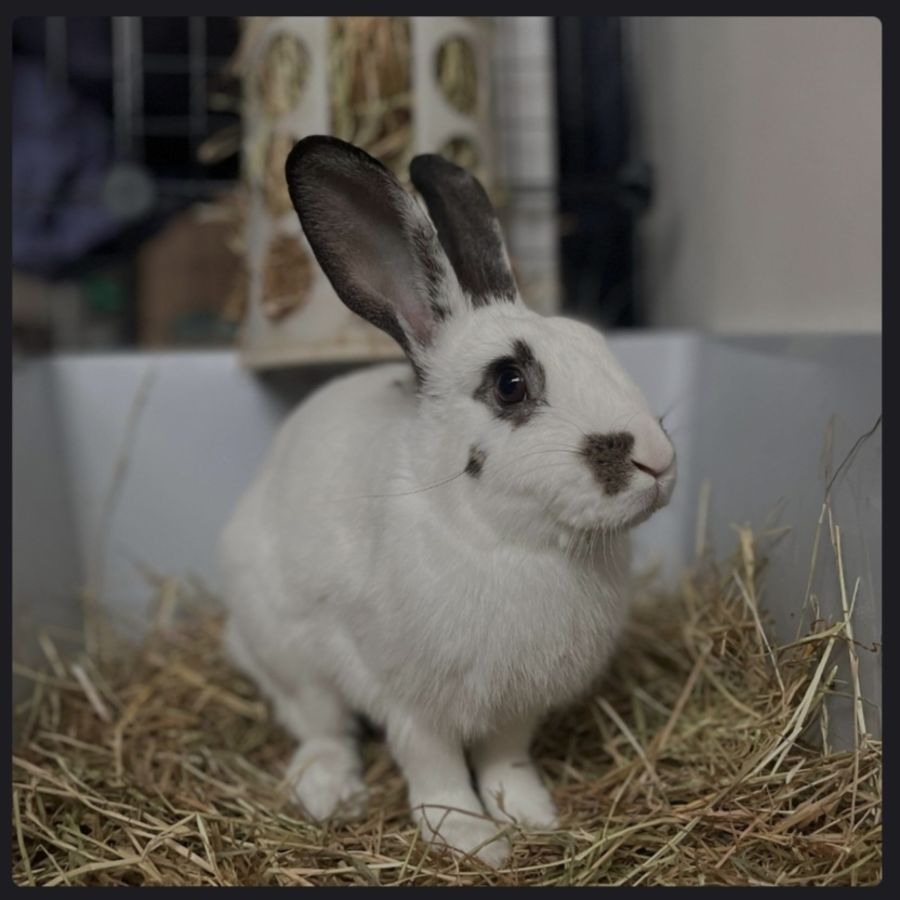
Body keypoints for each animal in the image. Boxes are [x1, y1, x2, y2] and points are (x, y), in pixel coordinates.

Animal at [218, 135, 677, 868]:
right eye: (510, 383)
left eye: (599, 346)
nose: (657, 460)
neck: (515, 546)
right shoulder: (411, 701)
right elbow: (435, 769)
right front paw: (470, 839)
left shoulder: (515, 707)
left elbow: (505, 760)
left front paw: (531, 817)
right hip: (292, 656)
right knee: (321, 728)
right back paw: (329, 792)